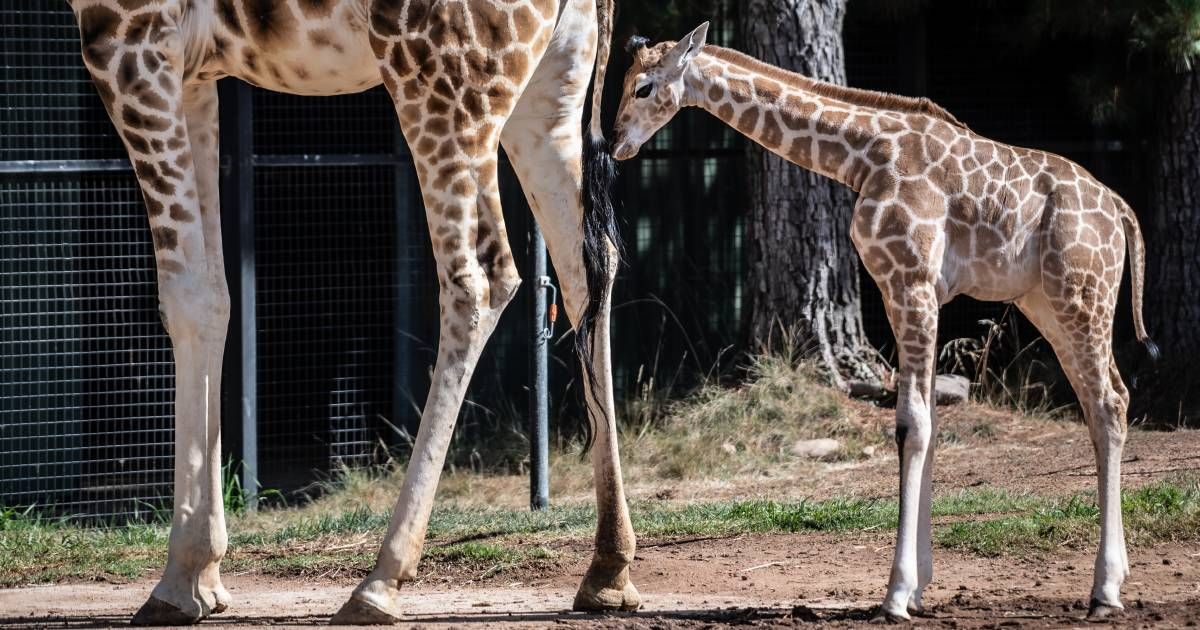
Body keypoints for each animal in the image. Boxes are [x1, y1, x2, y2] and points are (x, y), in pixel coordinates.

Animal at [65, 0, 641, 624]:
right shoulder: (196, 72)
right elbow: (218, 293)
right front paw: (201, 576)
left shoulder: (130, 38)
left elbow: (186, 295)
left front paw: (179, 581)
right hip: (551, 85)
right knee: (587, 267)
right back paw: (608, 570)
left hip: (443, 77)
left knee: (481, 279)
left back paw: (380, 581)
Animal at [611, 23, 1158, 622]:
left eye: (643, 86)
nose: (615, 143)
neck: (864, 156)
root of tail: (1122, 211)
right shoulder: (916, 290)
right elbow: (928, 420)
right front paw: (919, 588)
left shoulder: (909, 282)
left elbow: (911, 424)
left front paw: (895, 595)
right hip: (1047, 301)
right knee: (1110, 400)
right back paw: (1113, 581)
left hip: (1081, 296)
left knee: (1109, 401)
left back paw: (1105, 591)